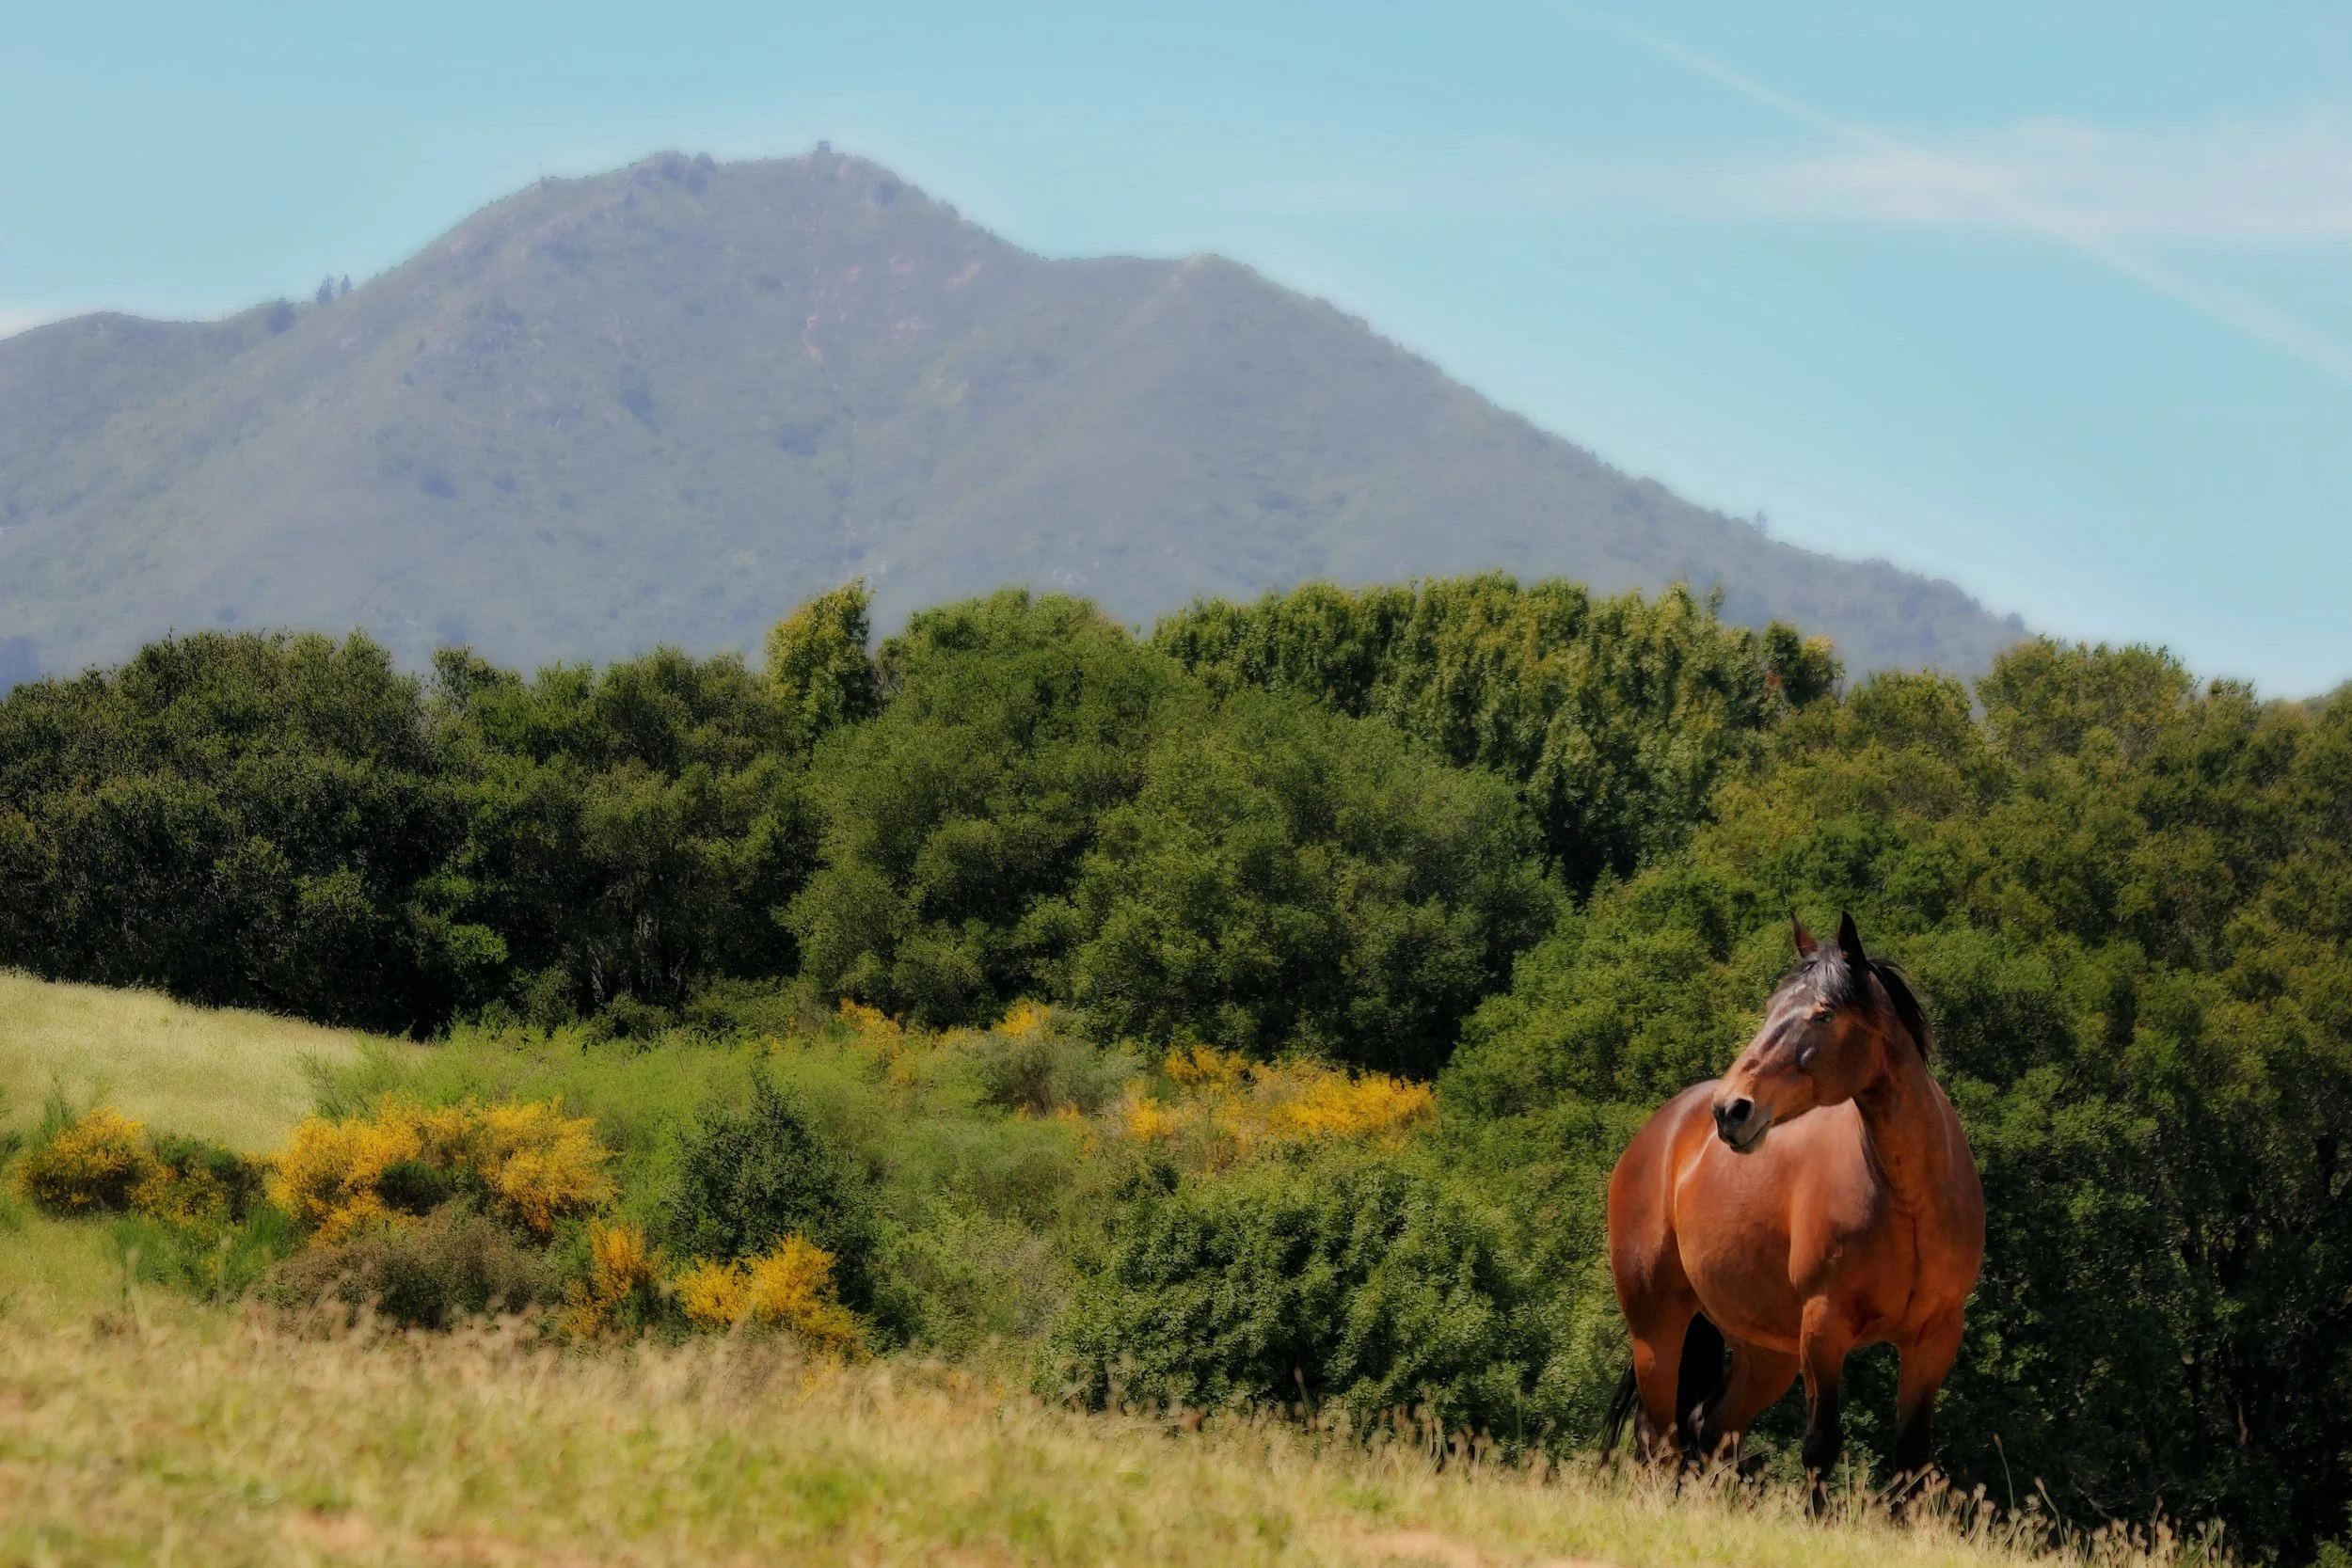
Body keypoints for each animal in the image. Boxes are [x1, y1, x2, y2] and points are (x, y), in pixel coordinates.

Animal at [1599, 912, 1984, 1502]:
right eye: (1770, 1010)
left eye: (1823, 1014)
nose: (1731, 1110)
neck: (1908, 1199)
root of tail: (1658, 1134)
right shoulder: (1824, 1329)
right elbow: (1820, 1447)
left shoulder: (1934, 1337)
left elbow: (1910, 1463)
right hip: (1657, 1329)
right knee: (1659, 1436)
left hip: (1765, 1355)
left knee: (1709, 1429)